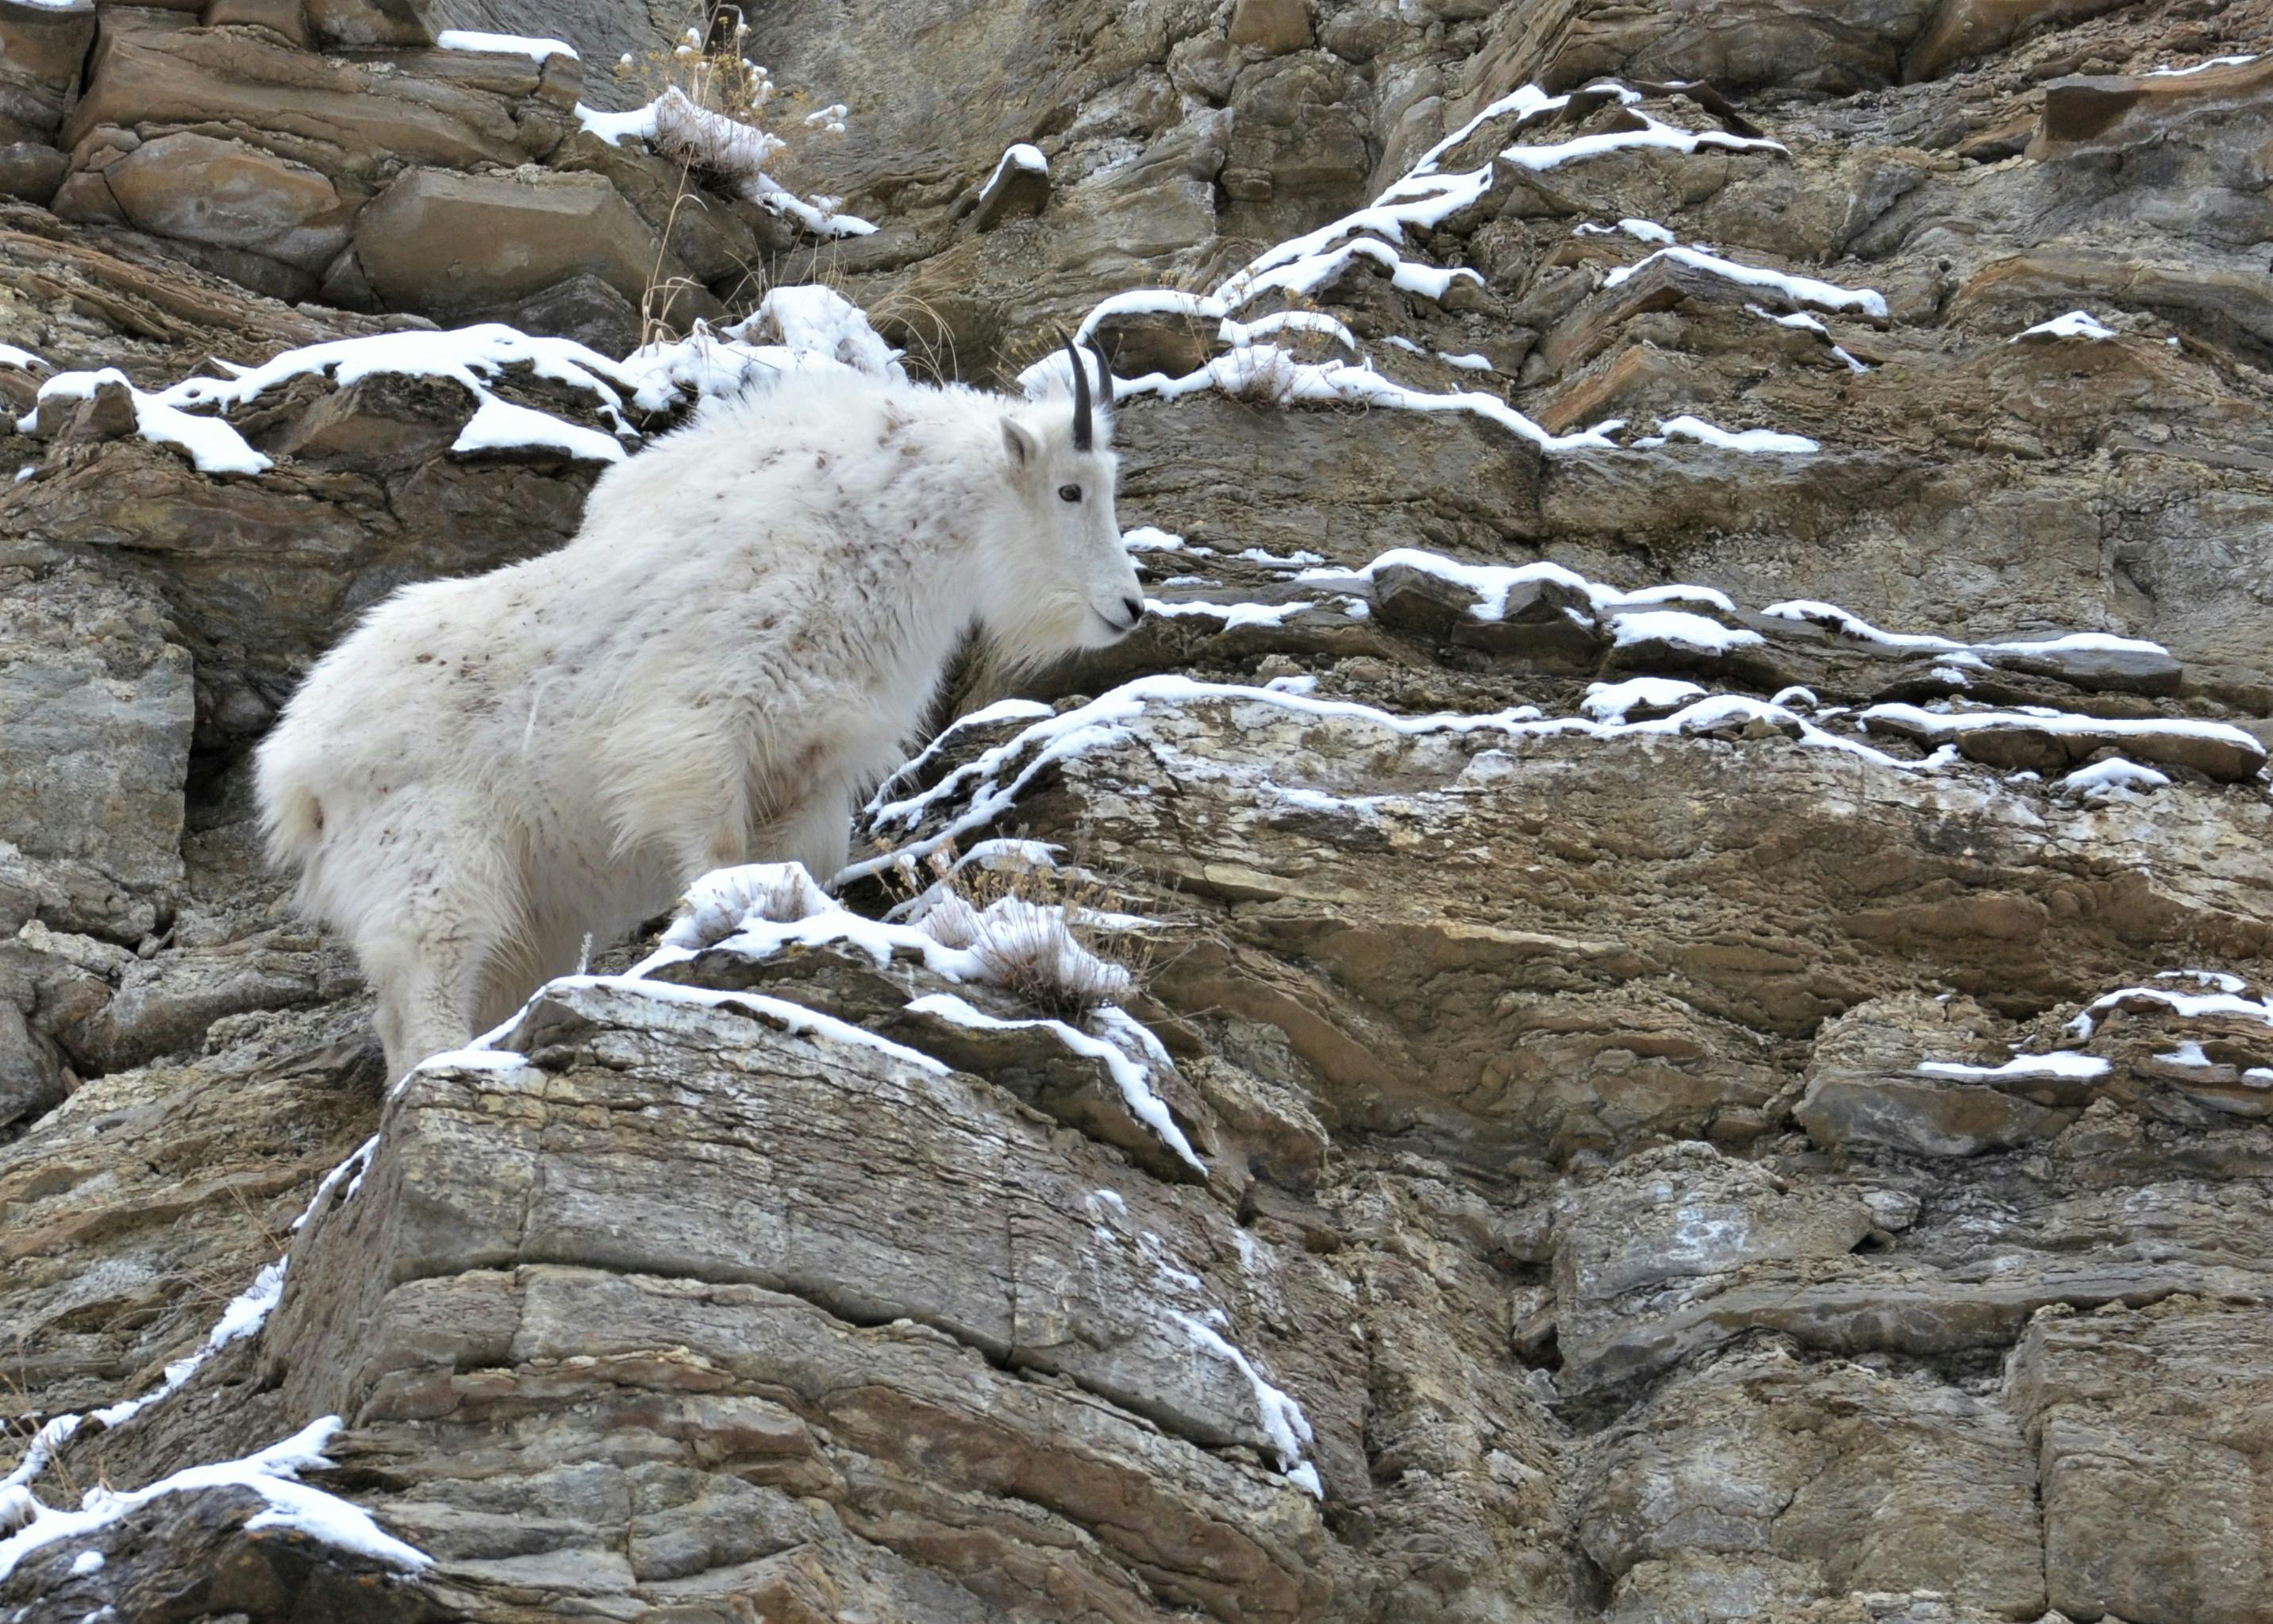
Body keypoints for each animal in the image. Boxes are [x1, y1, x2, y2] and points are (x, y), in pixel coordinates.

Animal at [255, 340, 1142, 1081]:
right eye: (1070, 489)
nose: (1129, 609)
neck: (868, 542)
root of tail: (292, 769)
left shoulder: (812, 772)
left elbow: (793, 868)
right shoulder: (698, 735)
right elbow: (714, 853)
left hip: (525, 915)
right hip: (432, 870)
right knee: (424, 1002)